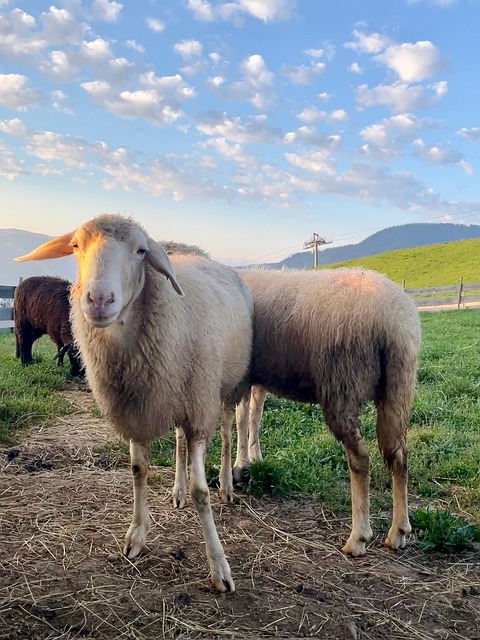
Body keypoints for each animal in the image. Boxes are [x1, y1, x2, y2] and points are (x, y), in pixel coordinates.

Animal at [16, 214, 253, 592]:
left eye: (141, 251)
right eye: (75, 246)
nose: (98, 299)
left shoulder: (198, 407)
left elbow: (202, 491)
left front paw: (219, 566)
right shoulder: (136, 409)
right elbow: (139, 472)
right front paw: (137, 536)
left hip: (228, 384)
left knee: (230, 432)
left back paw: (227, 486)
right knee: (178, 443)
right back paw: (177, 491)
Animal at [229, 267, 421, 557]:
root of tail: (393, 322)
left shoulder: (245, 373)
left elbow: (242, 417)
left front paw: (240, 465)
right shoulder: (259, 376)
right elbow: (255, 415)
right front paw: (254, 457)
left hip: (342, 382)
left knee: (360, 459)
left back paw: (358, 538)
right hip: (398, 387)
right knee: (399, 456)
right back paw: (398, 532)